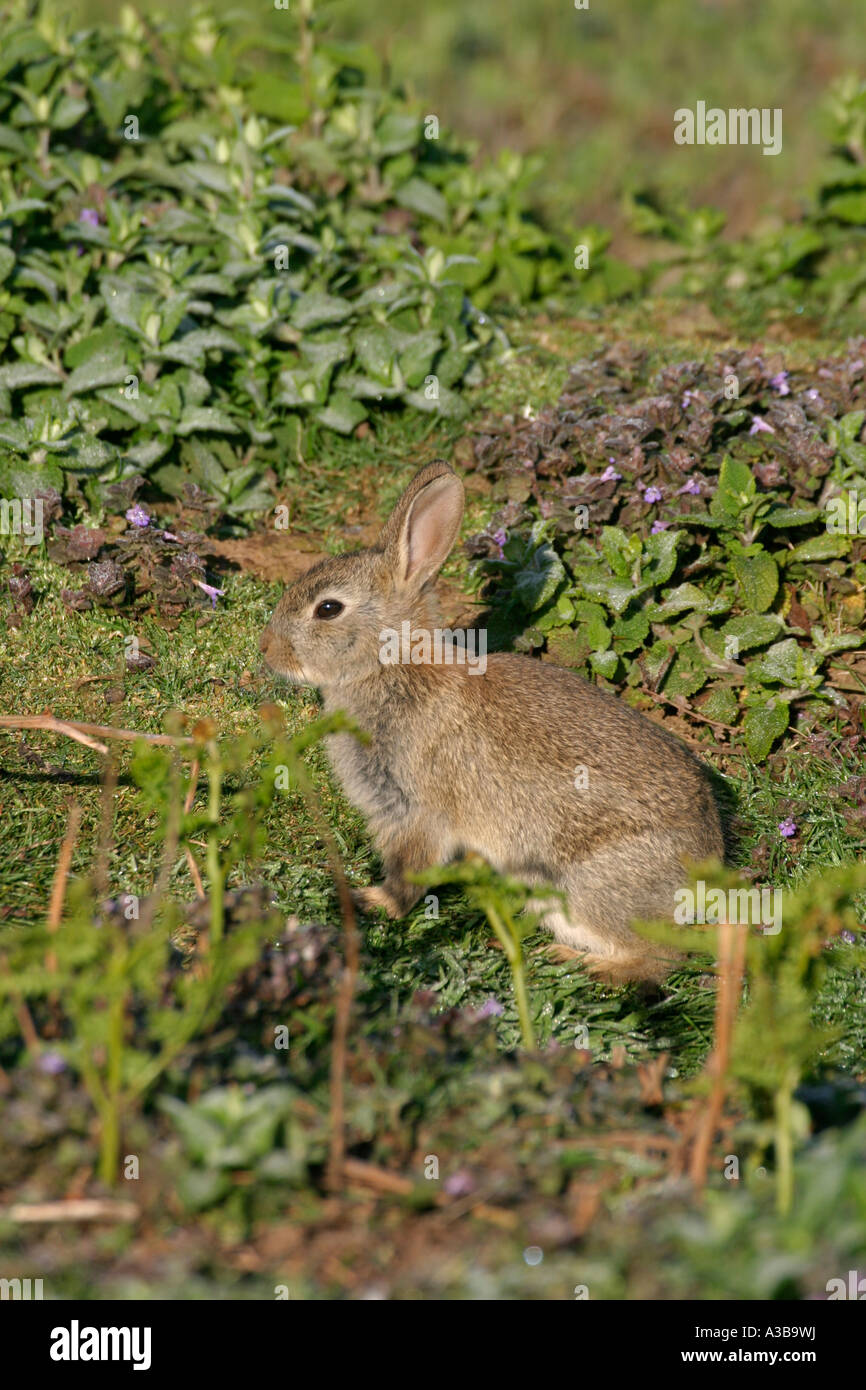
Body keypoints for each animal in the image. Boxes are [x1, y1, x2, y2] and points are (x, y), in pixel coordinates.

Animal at [259, 460, 724, 985]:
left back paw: (581, 963)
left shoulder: (418, 811)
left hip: (587, 886)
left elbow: (409, 872)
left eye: (328, 608)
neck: (391, 665)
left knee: (657, 957)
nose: (265, 648)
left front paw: (372, 901)